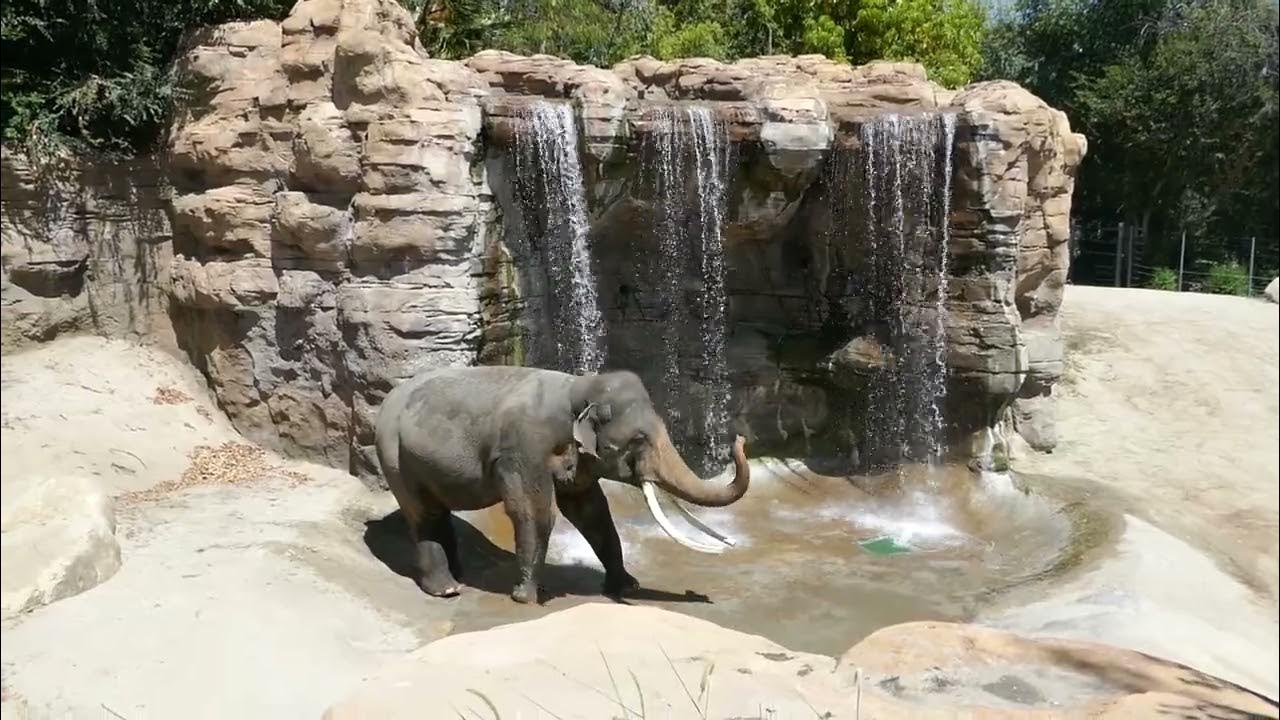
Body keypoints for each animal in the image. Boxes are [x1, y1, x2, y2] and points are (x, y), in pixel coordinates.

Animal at [374, 365, 751, 604]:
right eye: (638, 440)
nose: (740, 439)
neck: (580, 386)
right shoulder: (523, 449)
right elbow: (536, 512)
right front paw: (526, 597)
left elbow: (592, 512)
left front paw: (627, 587)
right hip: (394, 454)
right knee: (423, 513)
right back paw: (447, 589)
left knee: (438, 511)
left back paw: (458, 574)